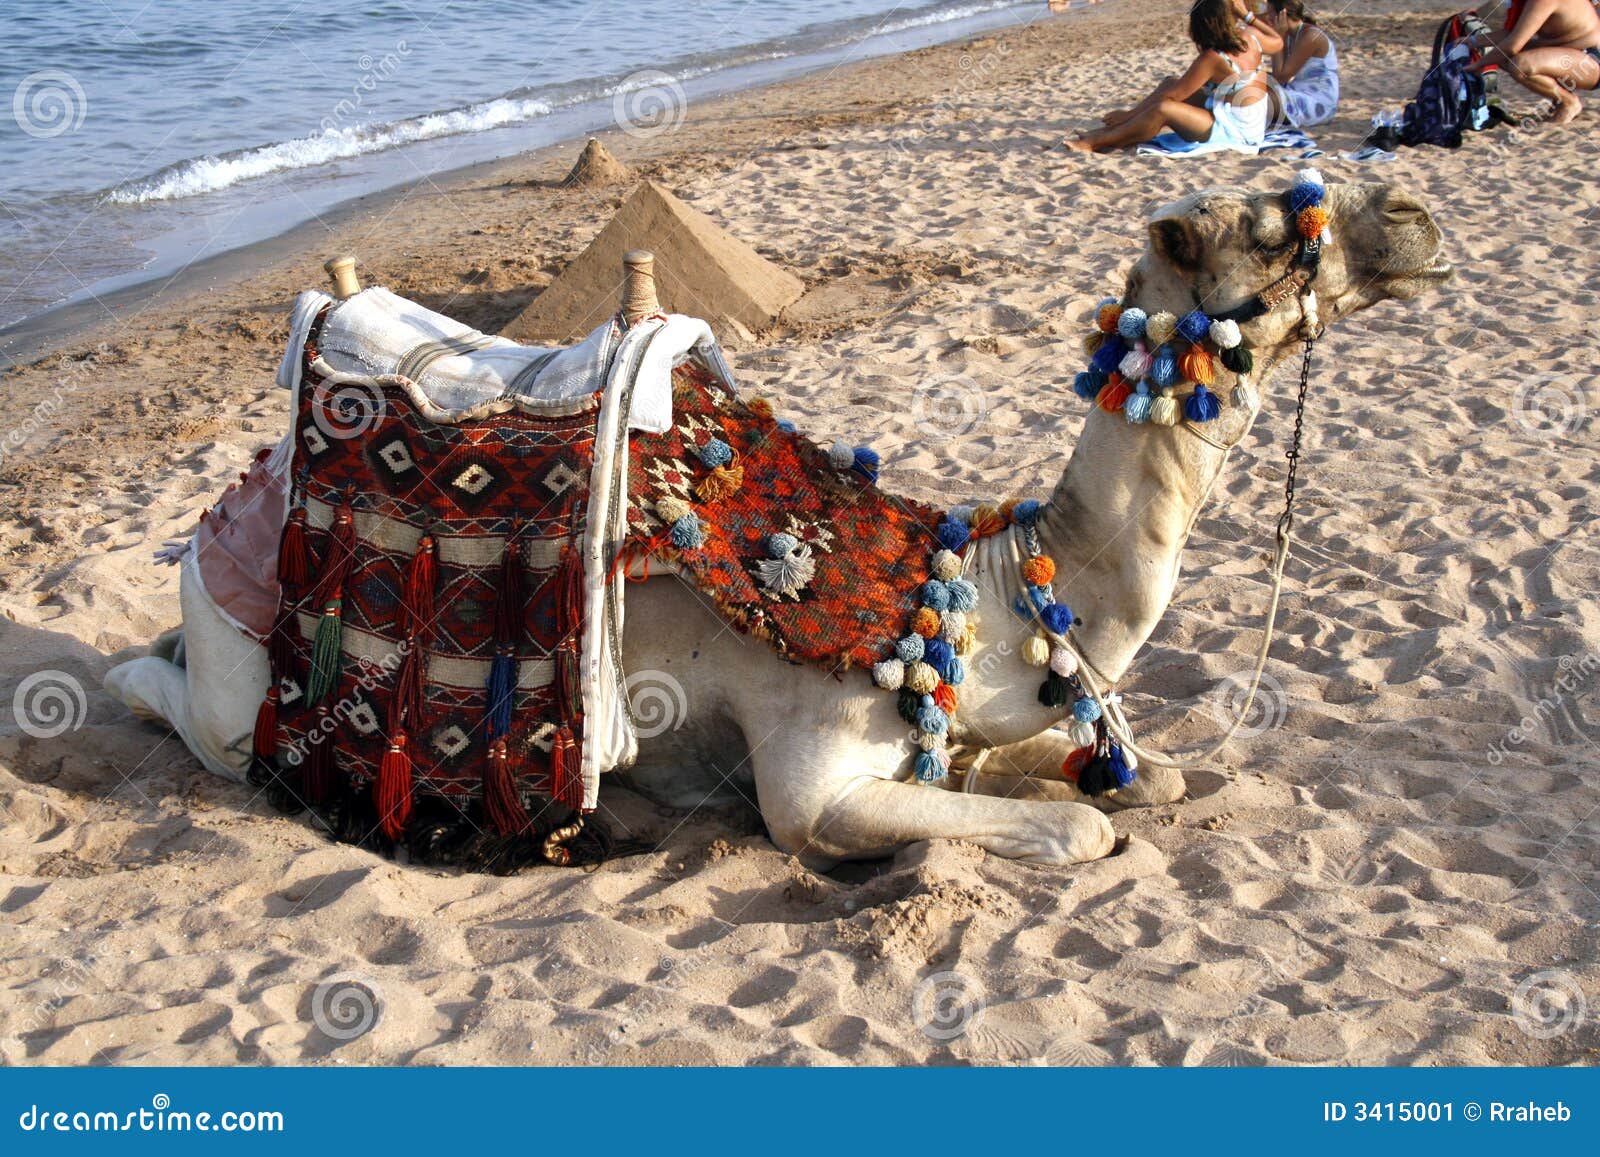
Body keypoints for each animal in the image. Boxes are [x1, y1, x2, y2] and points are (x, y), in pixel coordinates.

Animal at [104, 179, 1450, 868]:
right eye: (1273, 226)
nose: (1416, 213)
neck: (979, 590)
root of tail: (233, 502)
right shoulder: (818, 781)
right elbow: (1069, 828)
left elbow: (1142, 773)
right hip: (244, 666)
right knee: (181, 705)